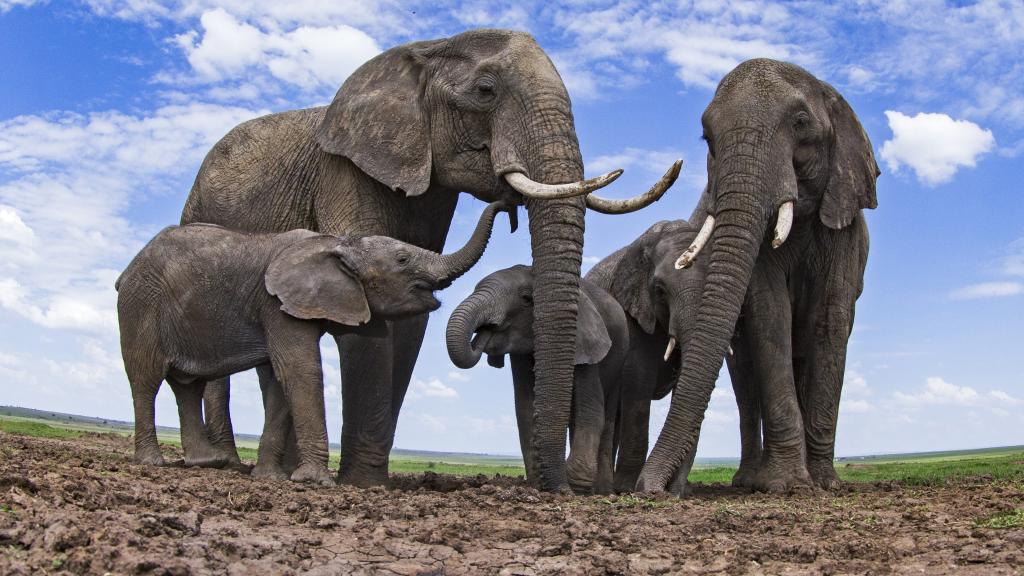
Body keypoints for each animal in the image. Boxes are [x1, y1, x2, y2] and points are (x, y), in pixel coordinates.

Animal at [116, 202, 506, 486]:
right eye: (402, 259)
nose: (505, 206)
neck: (339, 243)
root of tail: (128, 270)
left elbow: (279, 381)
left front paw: (271, 479)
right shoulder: (275, 303)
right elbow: (301, 370)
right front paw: (315, 482)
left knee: (188, 385)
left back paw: (204, 462)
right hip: (140, 305)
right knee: (146, 379)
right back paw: (153, 461)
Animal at [446, 265, 628, 494]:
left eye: (526, 299)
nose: (483, 334)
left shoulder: (586, 341)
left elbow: (591, 411)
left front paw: (575, 487)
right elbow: (525, 408)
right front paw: (539, 485)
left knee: (607, 413)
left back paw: (603, 492)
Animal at [637, 58, 878, 494]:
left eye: (801, 122)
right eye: (707, 137)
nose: (649, 490)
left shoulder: (845, 222)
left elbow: (830, 320)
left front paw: (825, 485)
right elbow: (770, 314)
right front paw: (787, 486)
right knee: (746, 383)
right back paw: (748, 481)